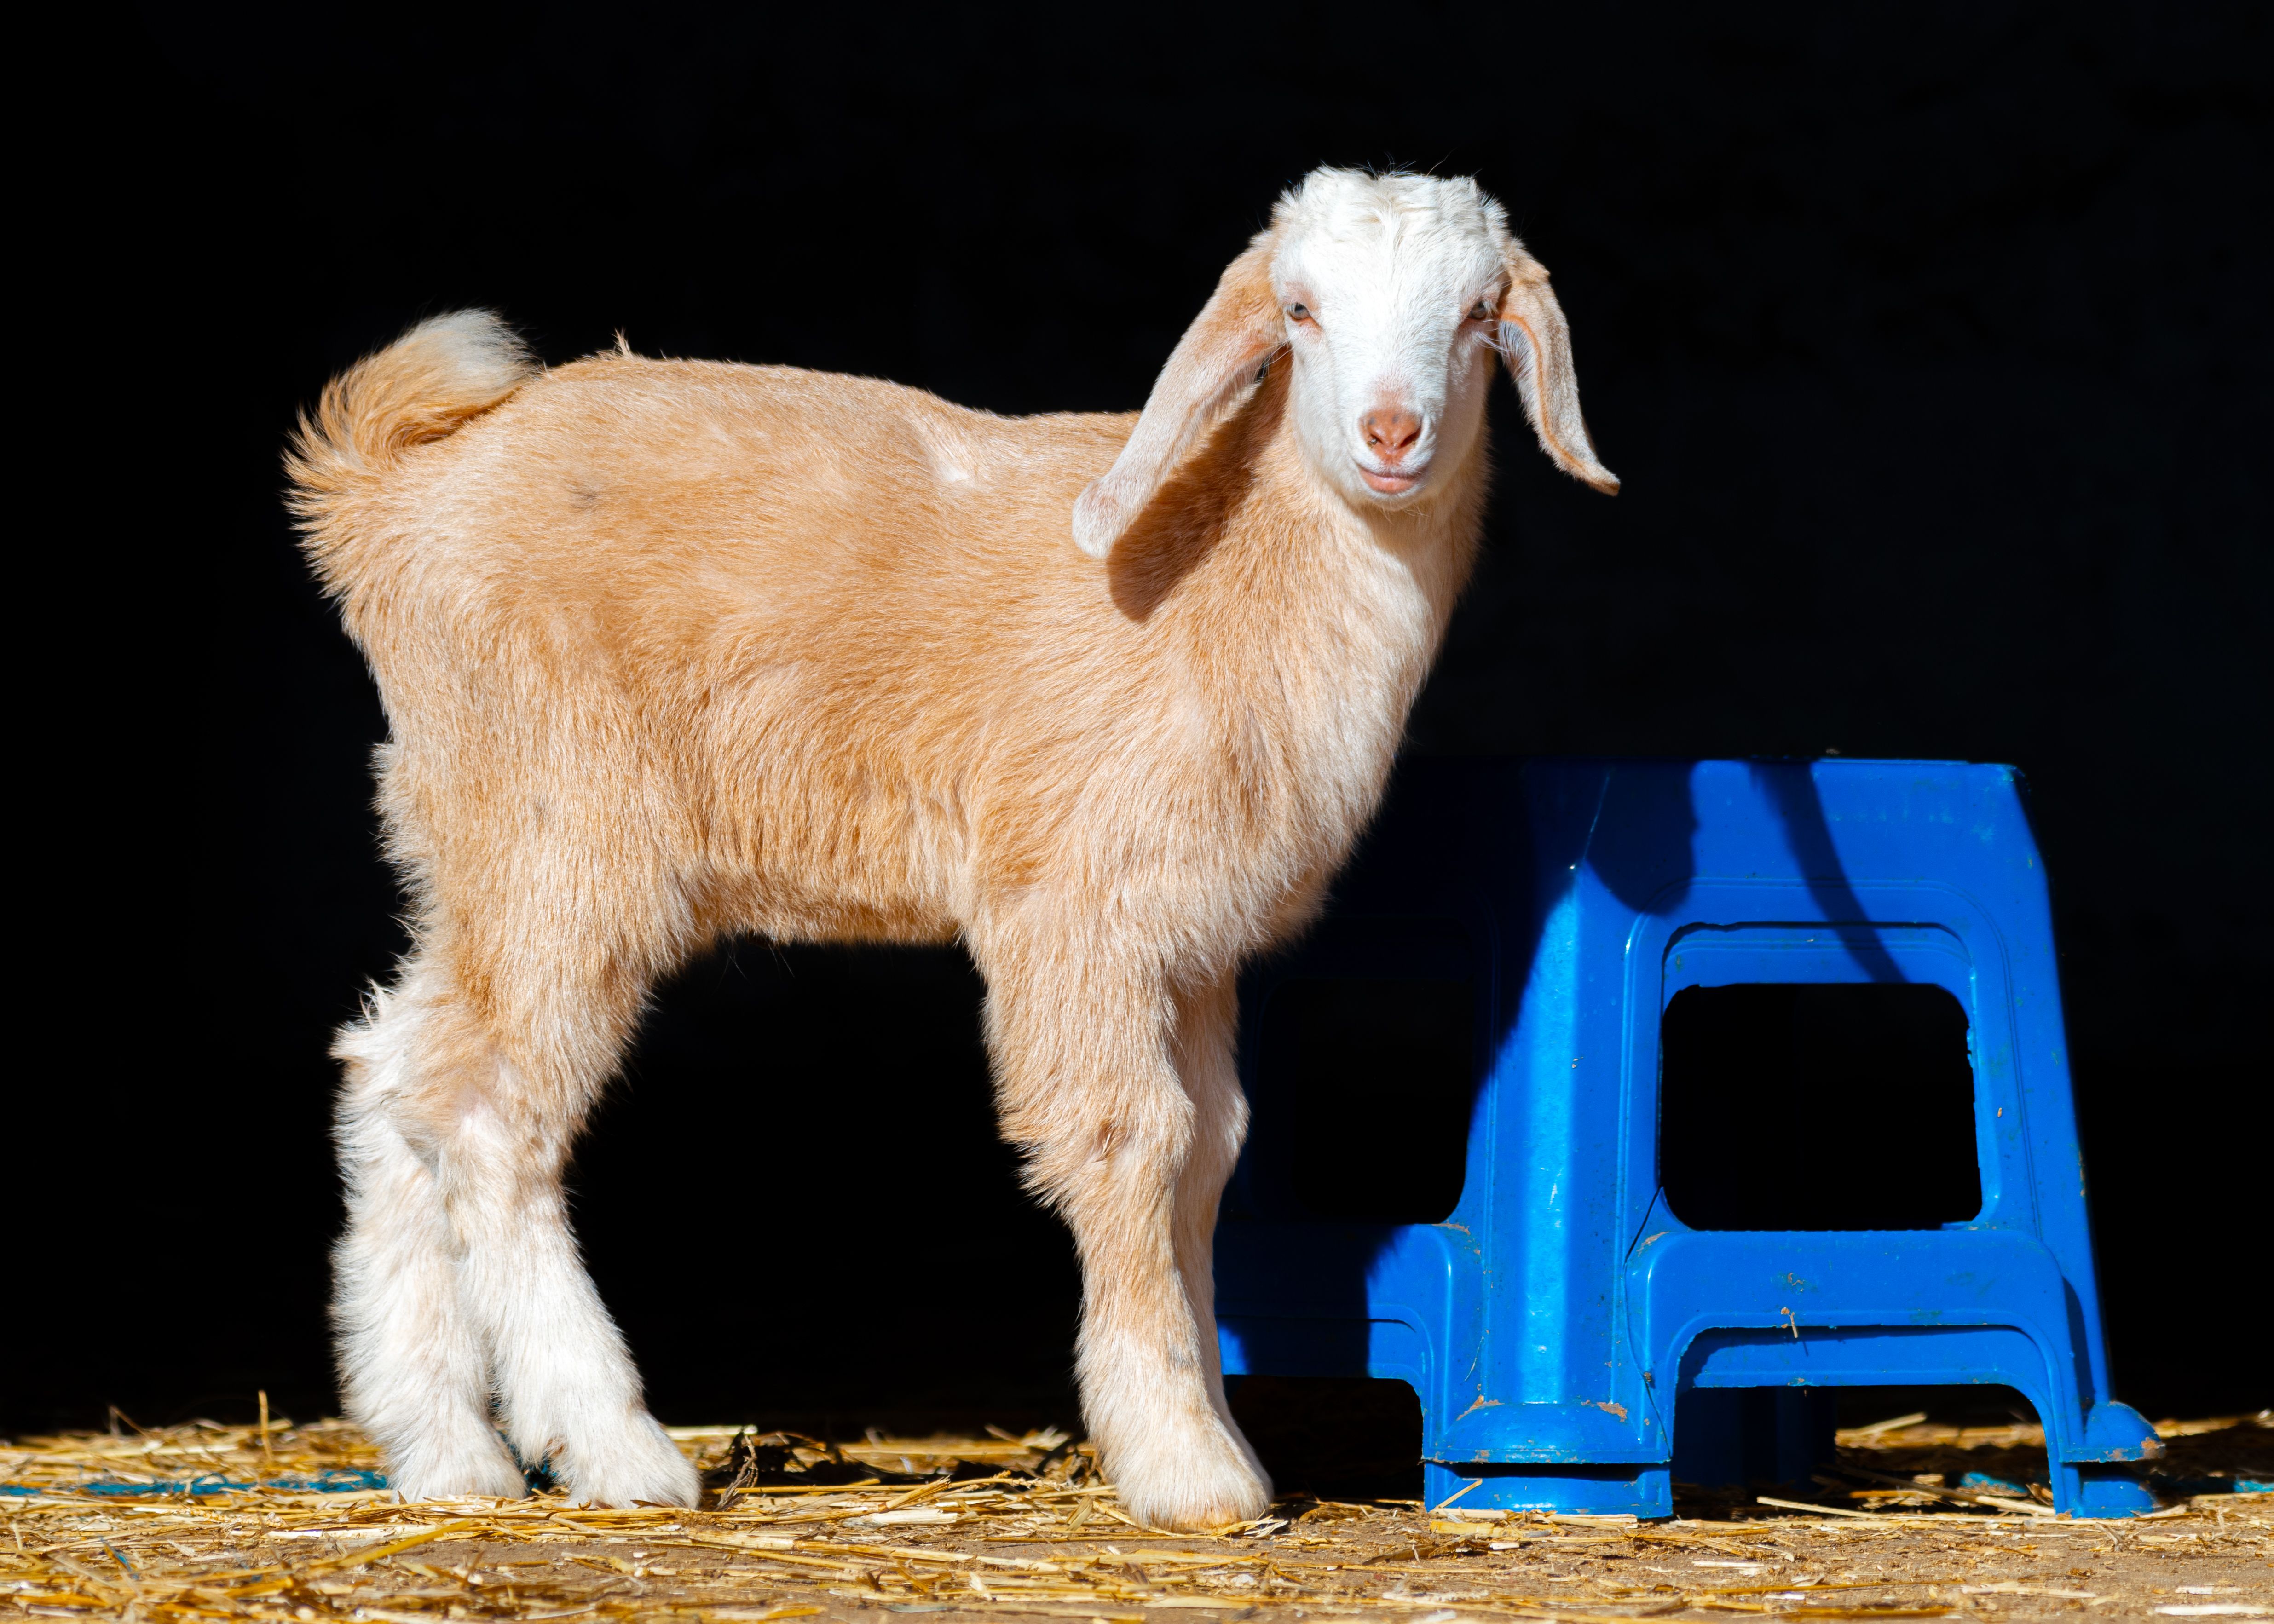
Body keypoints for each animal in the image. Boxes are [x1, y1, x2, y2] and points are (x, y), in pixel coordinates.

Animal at [287, 166, 1617, 1529]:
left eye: (1477, 315)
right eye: (1298, 312)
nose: (1392, 435)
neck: (1240, 571)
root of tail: (388, 501)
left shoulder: (1192, 944)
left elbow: (1210, 1152)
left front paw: (1222, 1437)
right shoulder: (1077, 903)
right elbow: (1130, 1138)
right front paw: (1180, 1459)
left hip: (475, 835)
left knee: (396, 1072)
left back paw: (446, 1448)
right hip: (569, 829)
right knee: (490, 1108)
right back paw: (615, 1446)